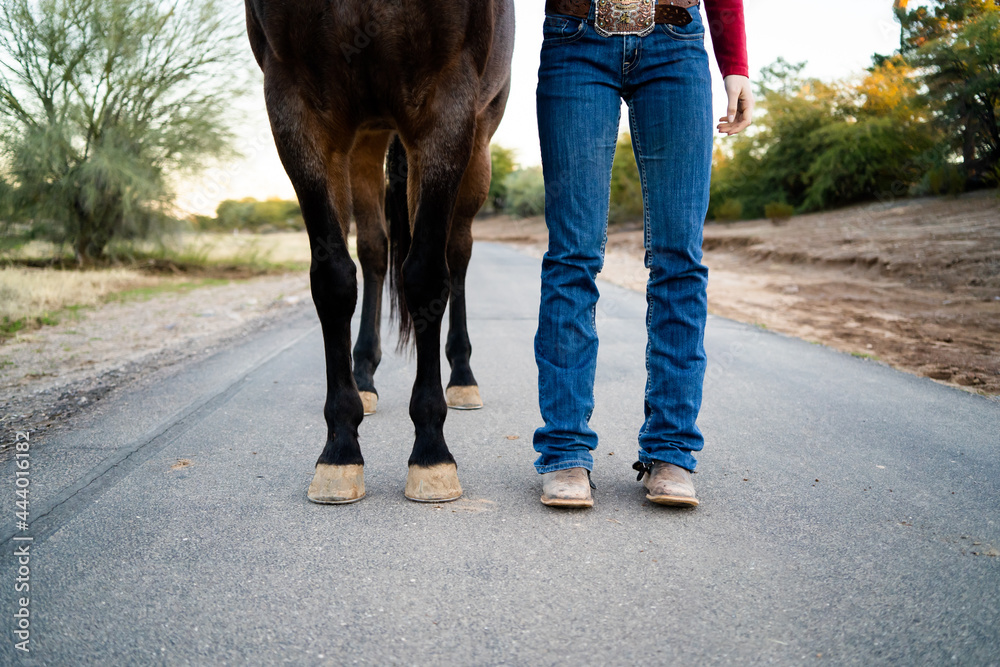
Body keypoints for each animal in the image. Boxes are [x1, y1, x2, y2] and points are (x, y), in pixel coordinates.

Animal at [244, 0, 515, 503]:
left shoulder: (446, 104)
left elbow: (427, 276)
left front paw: (431, 452)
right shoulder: (295, 102)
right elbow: (333, 280)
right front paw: (339, 450)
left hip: (479, 138)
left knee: (457, 253)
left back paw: (462, 378)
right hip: (366, 140)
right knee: (373, 249)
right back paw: (364, 374)